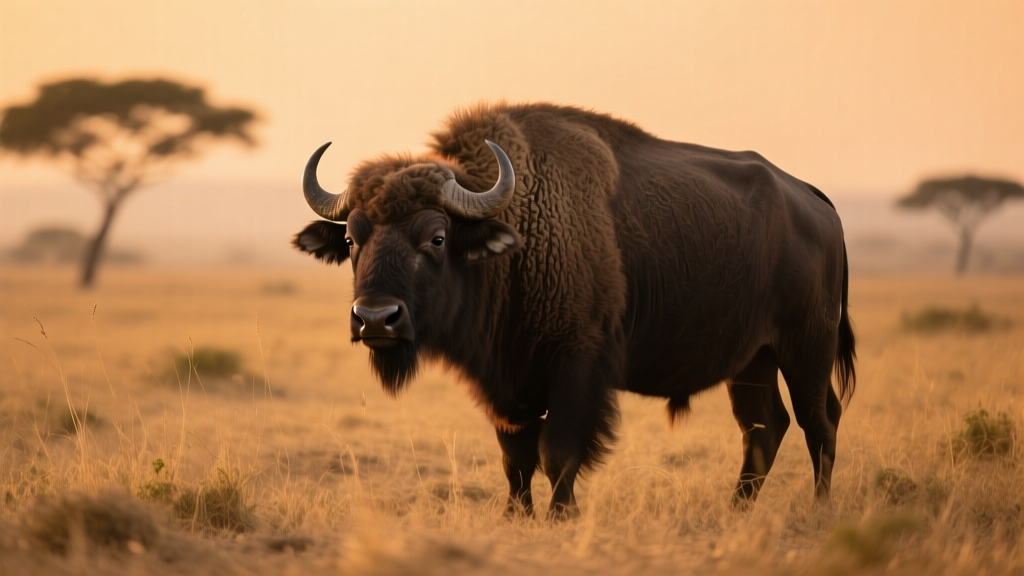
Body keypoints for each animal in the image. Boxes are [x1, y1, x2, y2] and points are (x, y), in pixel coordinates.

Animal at [294, 103, 855, 519]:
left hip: (805, 349)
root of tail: (816, 202)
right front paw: (516, 515)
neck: (517, 230)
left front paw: (562, 515)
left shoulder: (576, 366)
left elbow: (557, 451)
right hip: (752, 360)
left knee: (818, 420)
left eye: (436, 237)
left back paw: (819, 508)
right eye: (353, 237)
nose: (375, 318)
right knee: (764, 426)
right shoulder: (507, 381)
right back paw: (736, 509)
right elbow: (515, 457)